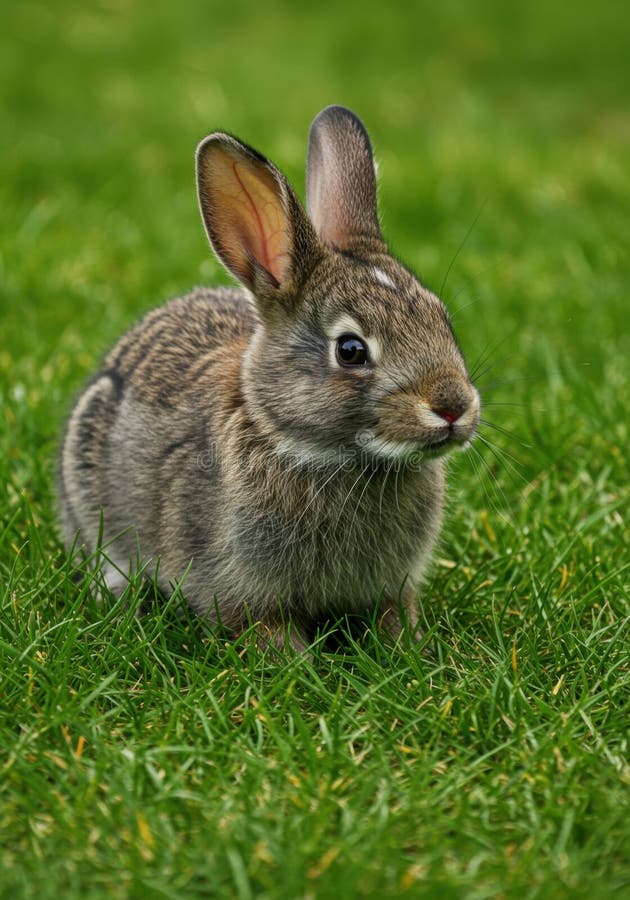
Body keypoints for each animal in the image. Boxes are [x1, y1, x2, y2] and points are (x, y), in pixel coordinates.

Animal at [58, 105, 481, 652]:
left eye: (443, 320)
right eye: (351, 350)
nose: (453, 406)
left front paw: (412, 648)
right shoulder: (242, 586)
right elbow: (266, 629)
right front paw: (298, 663)